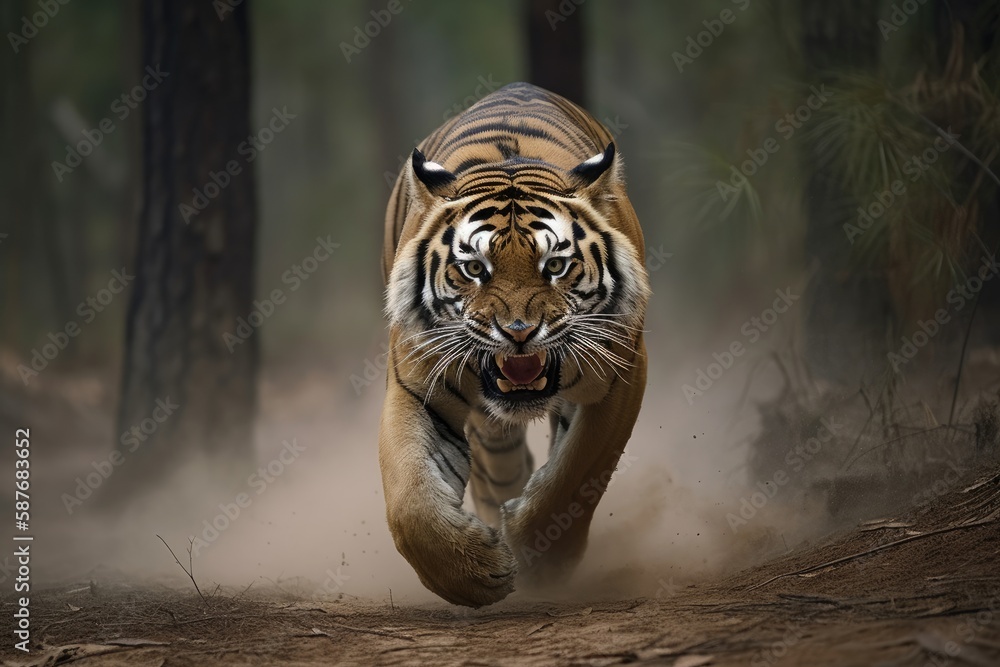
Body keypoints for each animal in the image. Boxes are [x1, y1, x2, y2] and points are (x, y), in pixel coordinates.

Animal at [379, 82, 650, 607]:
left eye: (555, 266)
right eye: (473, 269)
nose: (519, 331)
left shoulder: (620, 377)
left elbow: (577, 472)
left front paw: (541, 557)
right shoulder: (415, 385)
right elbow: (410, 501)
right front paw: (477, 573)